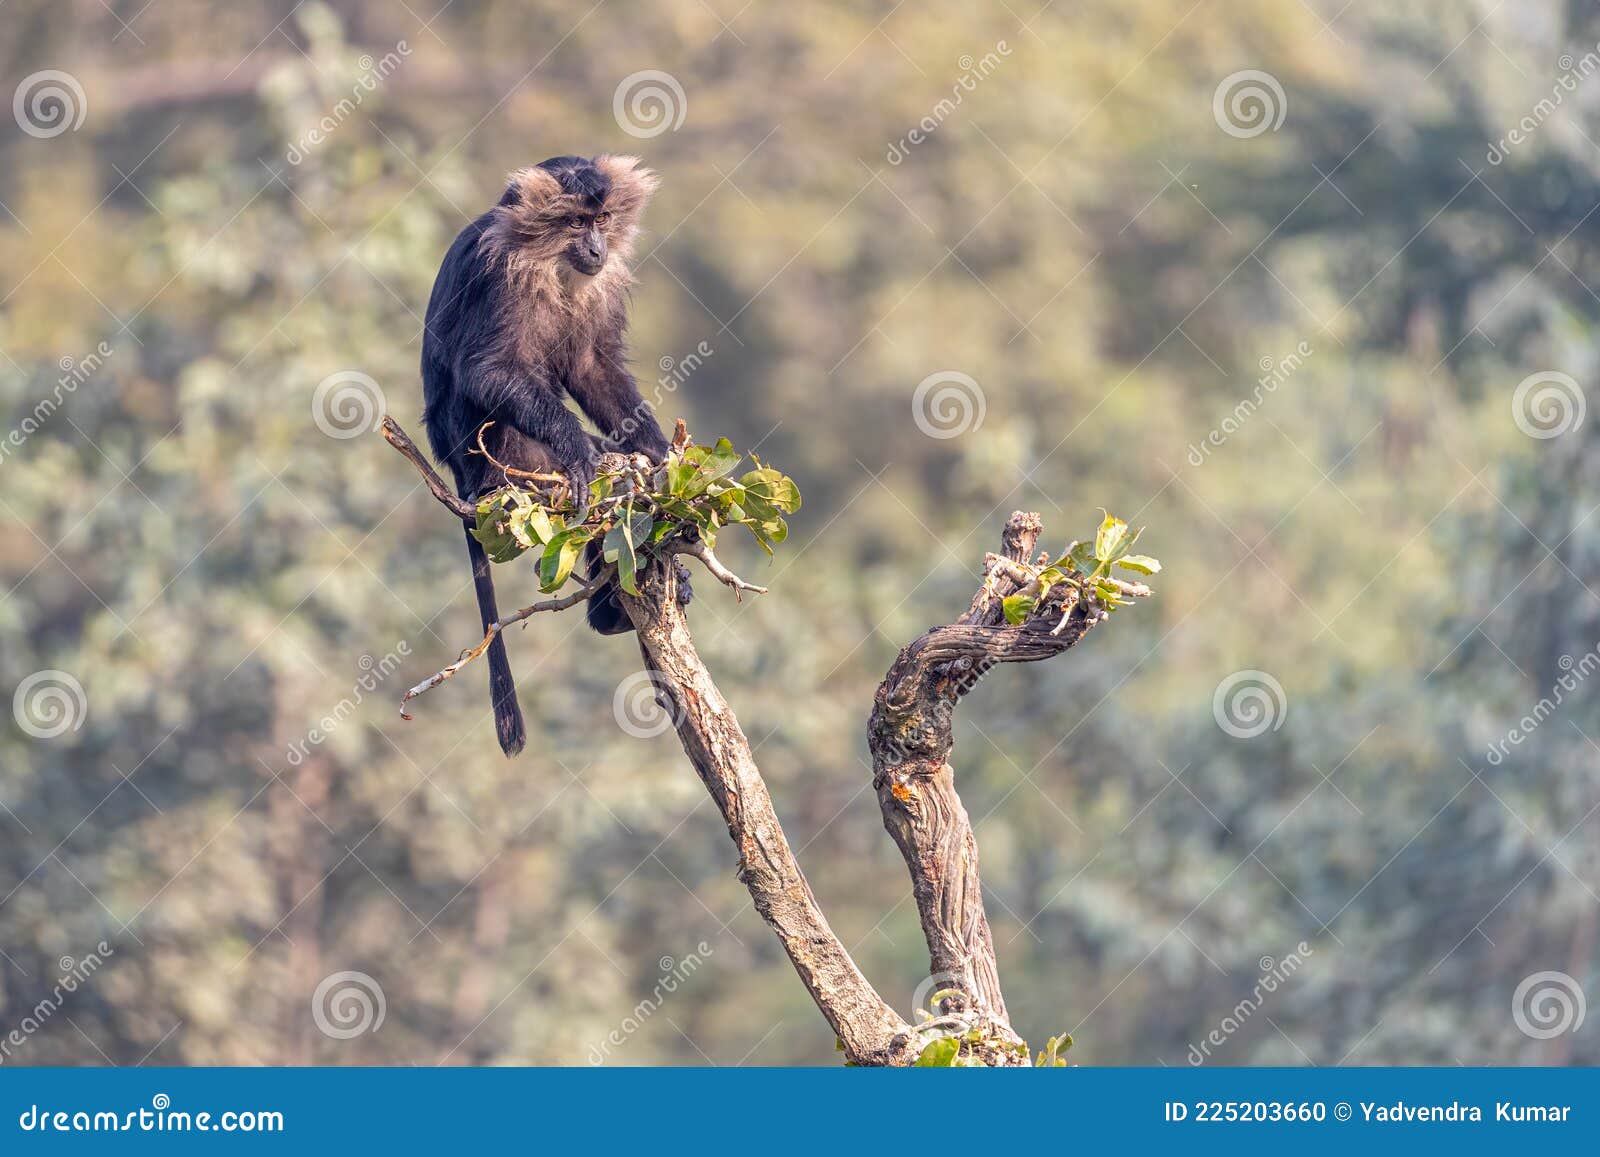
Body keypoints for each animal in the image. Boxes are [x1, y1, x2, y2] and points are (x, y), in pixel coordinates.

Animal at [420, 154, 683, 757]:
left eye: (602, 218)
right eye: (574, 222)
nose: (597, 247)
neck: (550, 259)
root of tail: (460, 476)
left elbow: (591, 366)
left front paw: (662, 456)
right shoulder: (501, 269)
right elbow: (488, 369)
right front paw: (579, 449)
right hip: (505, 460)